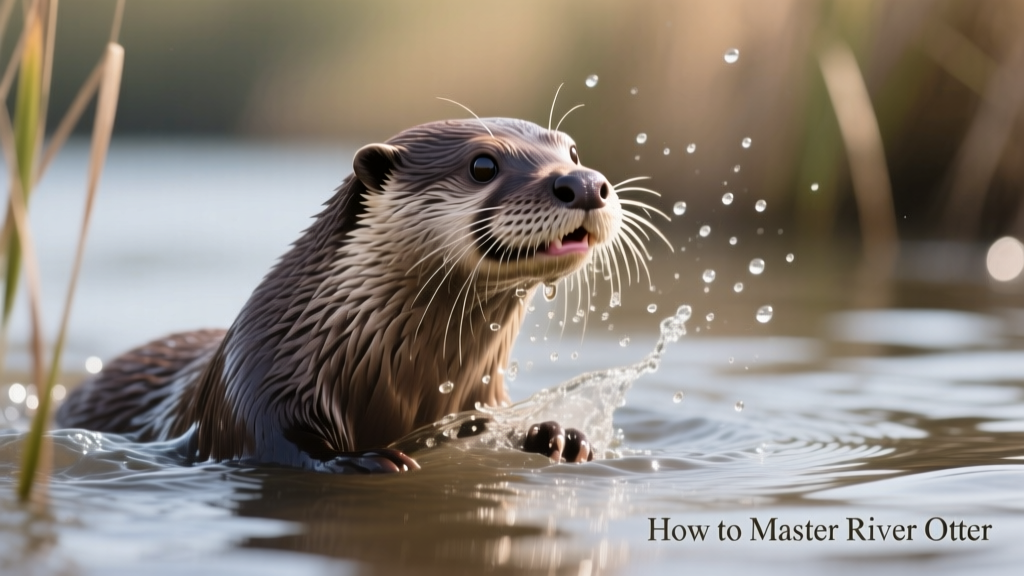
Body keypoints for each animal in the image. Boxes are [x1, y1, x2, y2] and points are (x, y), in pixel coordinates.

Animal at [56, 118, 630, 473]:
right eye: (482, 164)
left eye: (572, 150)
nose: (584, 183)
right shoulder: (250, 389)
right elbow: (278, 443)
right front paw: (357, 459)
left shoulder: (479, 400)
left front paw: (556, 436)